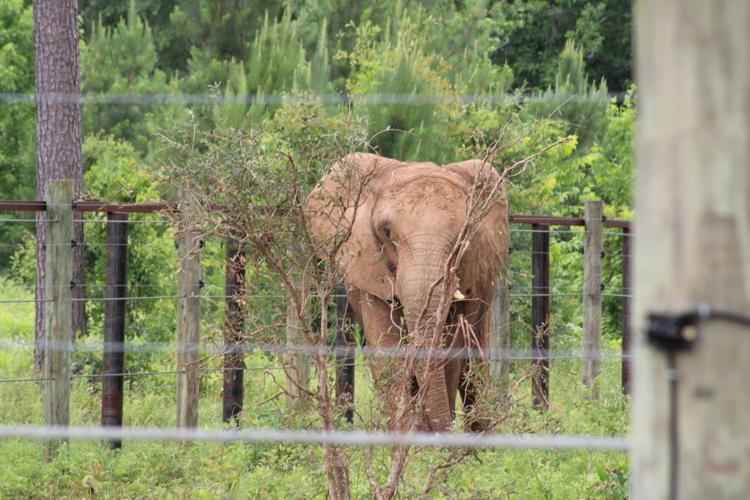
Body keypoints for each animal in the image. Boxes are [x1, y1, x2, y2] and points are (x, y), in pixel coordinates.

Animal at [305, 153, 509, 431]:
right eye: (387, 232)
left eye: (464, 237)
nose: (442, 428)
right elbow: (388, 348)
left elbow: (450, 348)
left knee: (473, 362)